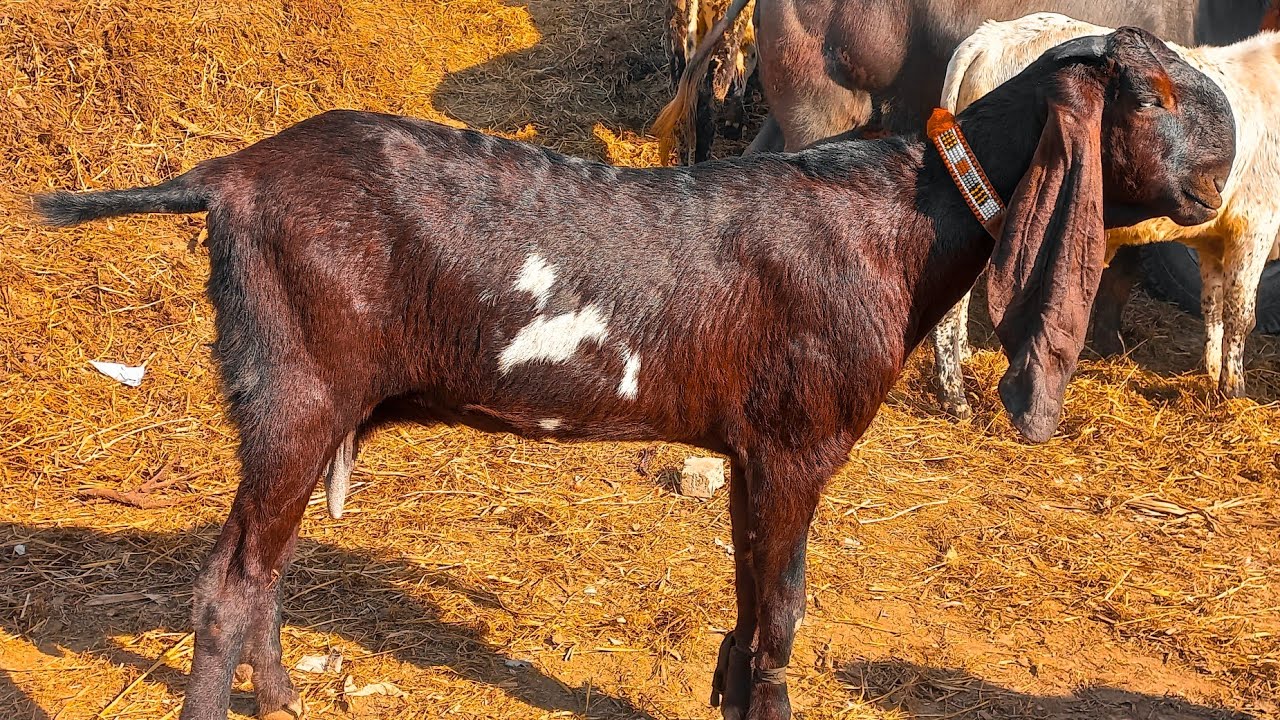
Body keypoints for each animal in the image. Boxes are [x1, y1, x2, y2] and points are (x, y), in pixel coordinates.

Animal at [34, 28, 1232, 720]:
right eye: (1153, 94)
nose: (1222, 172)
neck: (903, 218)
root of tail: (230, 174)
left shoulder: (750, 450)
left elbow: (753, 605)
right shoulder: (797, 442)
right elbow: (782, 620)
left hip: (313, 404)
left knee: (266, 569)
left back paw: (283, 704)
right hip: (292, 386)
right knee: (229, 586)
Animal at [931, 13, 1280, 420]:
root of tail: (993, 34)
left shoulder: (1213, 238)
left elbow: (1214, 308)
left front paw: (1210, 374)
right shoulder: (1256, 223)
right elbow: (1241, 315)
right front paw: (1234, 391)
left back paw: (965, 358)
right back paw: (954, 396)